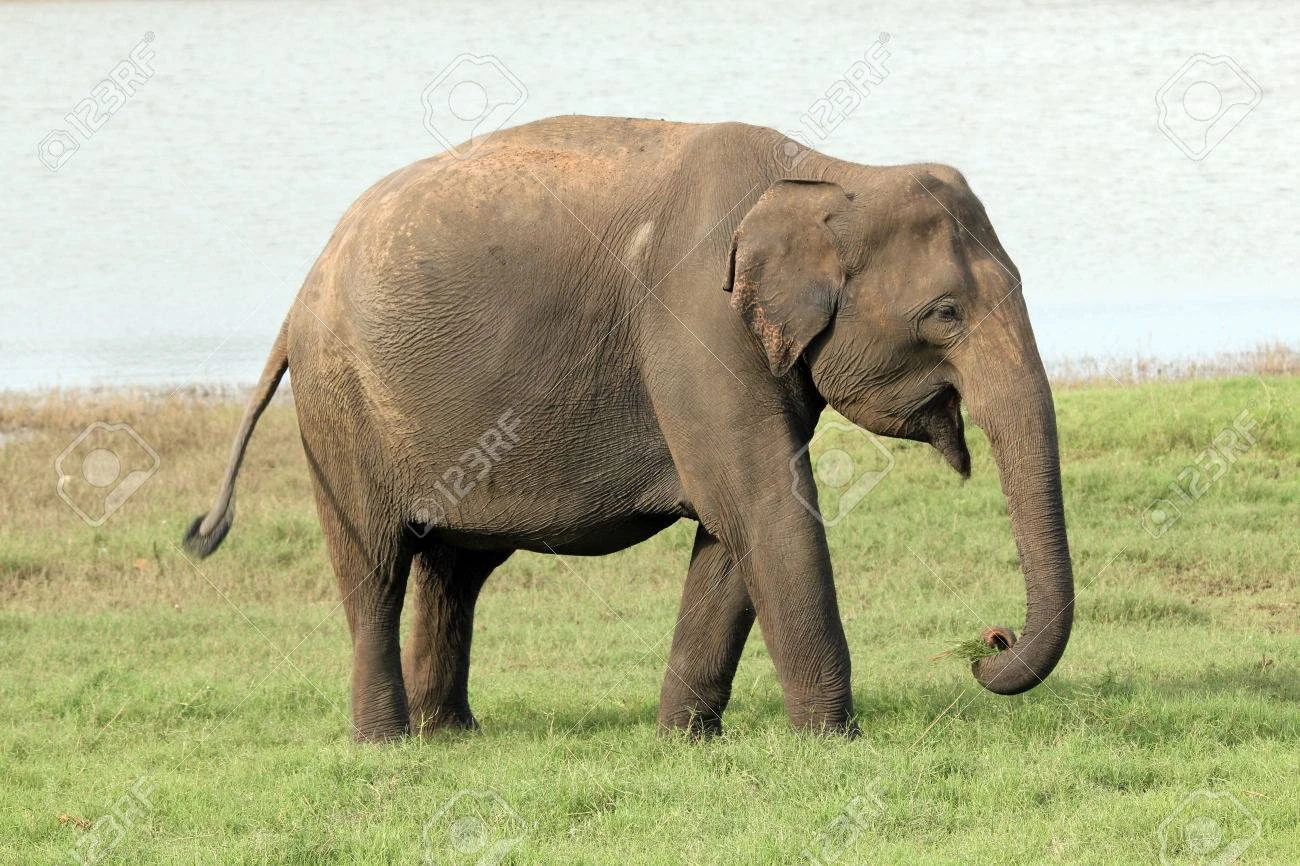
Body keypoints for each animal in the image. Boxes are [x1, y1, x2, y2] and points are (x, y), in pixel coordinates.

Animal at [184, 115, 1074, 742]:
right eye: (945, 314)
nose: (989, 644)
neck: (835, 173)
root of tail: (303, 288)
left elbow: (734, 531)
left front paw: (683, 741)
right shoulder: (697, 326)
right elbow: (764, 509)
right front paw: (835, 742)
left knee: (454, 569)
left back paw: (455, 735)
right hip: (341, 407)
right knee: (374, 567)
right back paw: (388, 743)